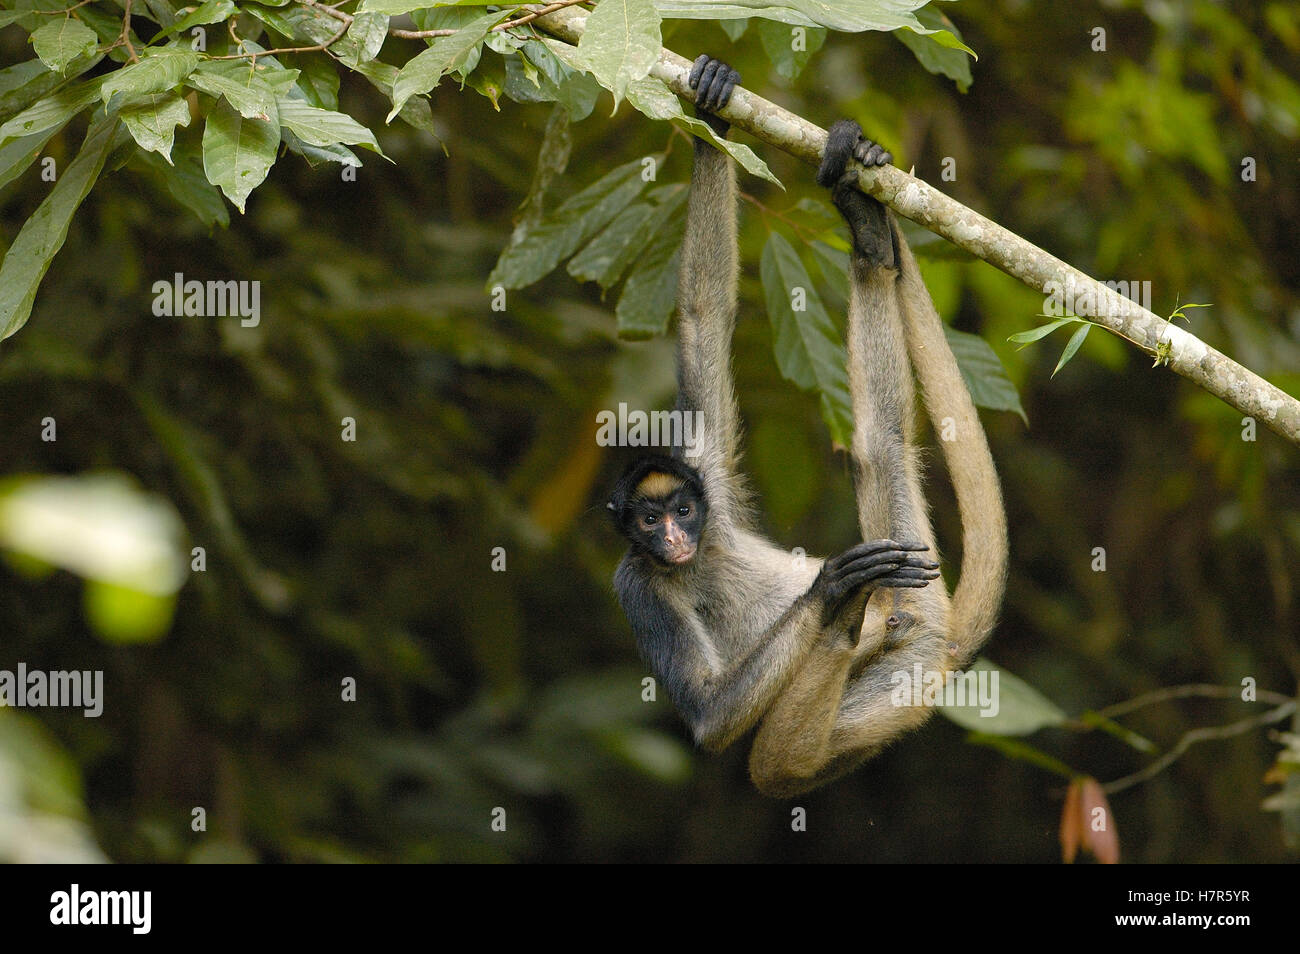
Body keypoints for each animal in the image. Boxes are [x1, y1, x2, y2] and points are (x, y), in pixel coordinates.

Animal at [607, 56, 1008, 796]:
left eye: (682, 510)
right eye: (649, 522)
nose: (674, 537)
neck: (697, 554)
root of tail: (939, 638)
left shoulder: (705, 476)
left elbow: (705, 315)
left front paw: (711, 113)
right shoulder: (634, 583)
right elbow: (711, 716)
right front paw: (829, 589)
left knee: (877, 446)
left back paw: (870, 239)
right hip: (894, 679)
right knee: (774, 769)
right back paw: (844, 616)